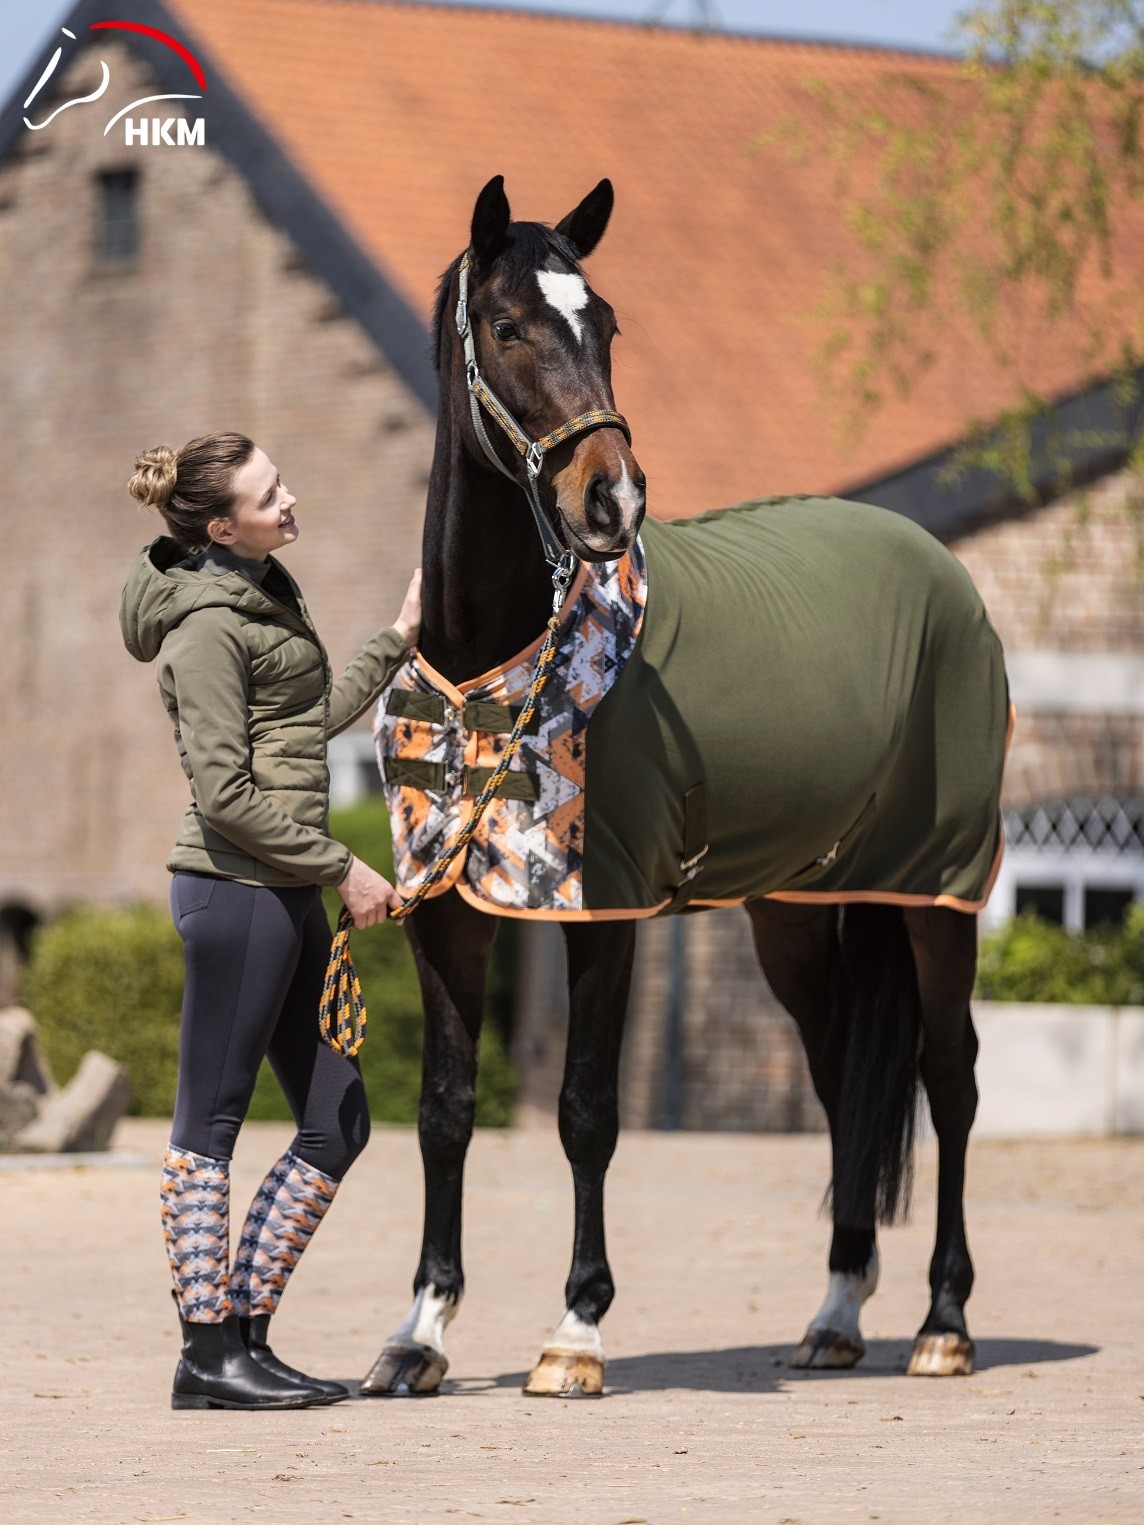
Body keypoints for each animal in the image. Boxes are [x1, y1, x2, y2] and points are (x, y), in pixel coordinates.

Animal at [359, 174, 1007, 1397]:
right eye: (507, 327)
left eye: (607, 326)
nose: (611, 498)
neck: (499, 663)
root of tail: (941, 570)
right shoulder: (448, 915)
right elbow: (443, 1111)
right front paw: (417, 1331)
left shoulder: (603, 910)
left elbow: (584, 1111)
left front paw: (575, 1330)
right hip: (798, 911)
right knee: (843, 1077)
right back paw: (835, 1313)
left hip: (936, 891)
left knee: (950, 1078)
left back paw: (944, 1322)